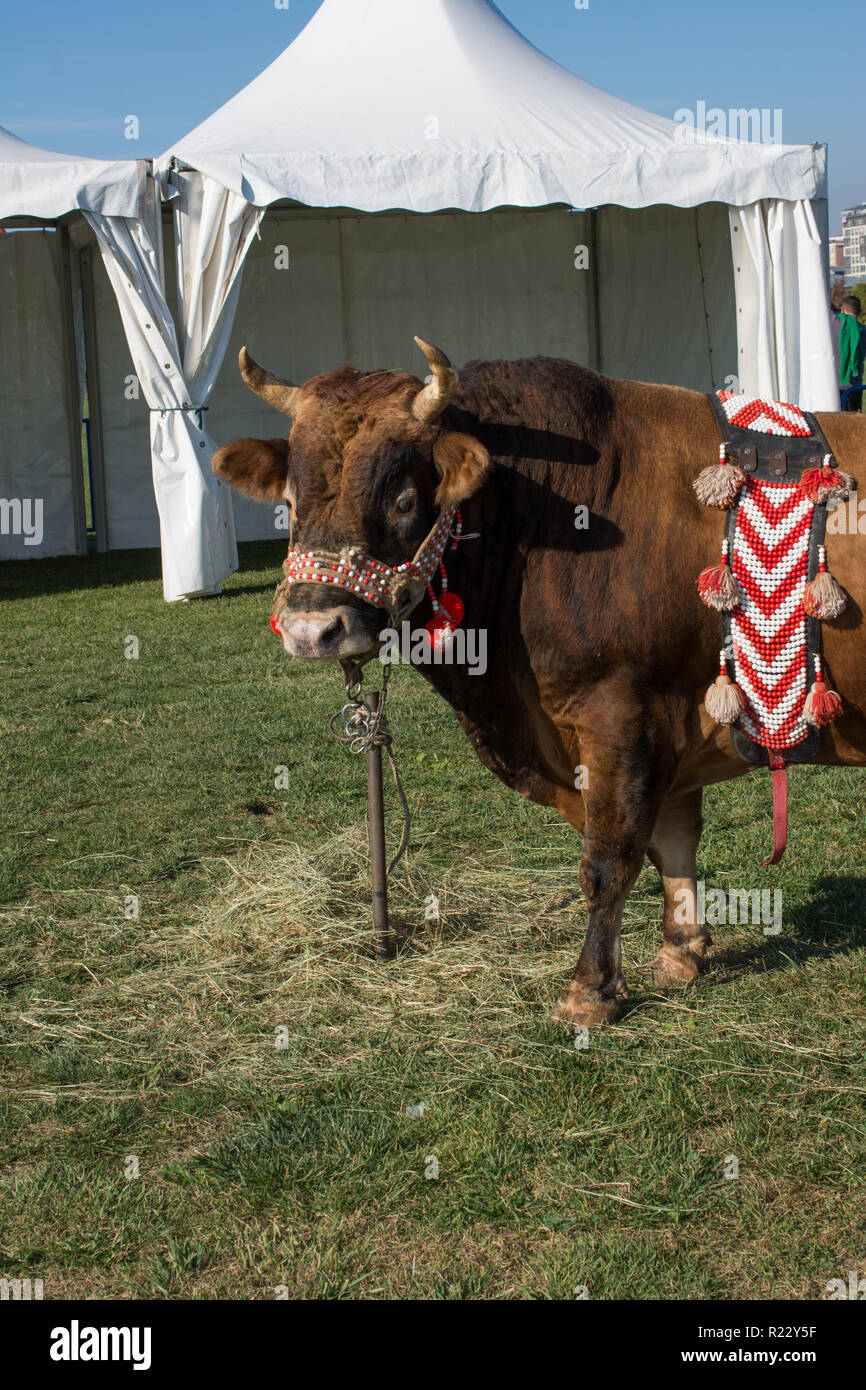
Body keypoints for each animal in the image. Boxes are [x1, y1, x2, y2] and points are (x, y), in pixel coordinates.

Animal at [212, 338, 866, 1026]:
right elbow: (672, 839)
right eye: (289, 500)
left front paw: (589, 990)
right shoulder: (667, 721)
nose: (312, 628)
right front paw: (681, 954)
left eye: (404, 501)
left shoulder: (623, 711)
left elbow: (610, 858)